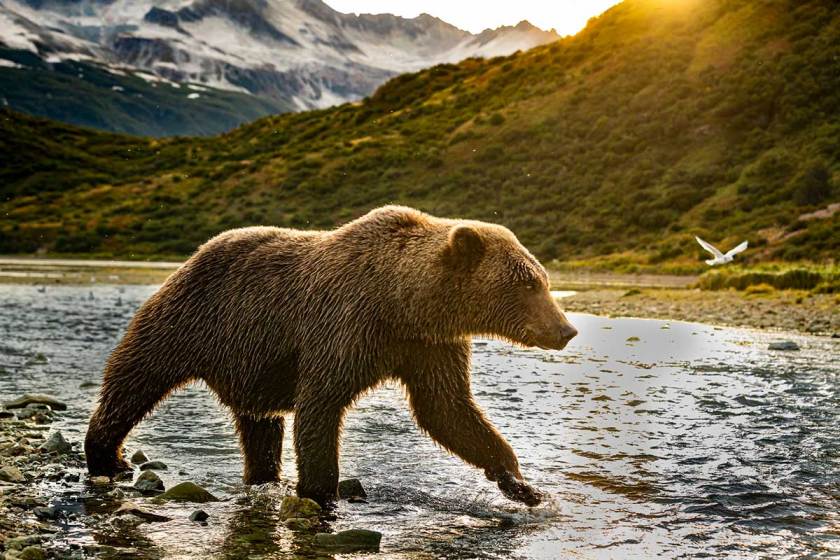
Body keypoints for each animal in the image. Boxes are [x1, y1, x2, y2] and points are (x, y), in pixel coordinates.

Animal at [85, 205, 578, 506]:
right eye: (528, 283)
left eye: (543, 279)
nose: (566, 330)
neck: (402, 302)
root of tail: (195, 252)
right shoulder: (345, 325)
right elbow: (321, 405)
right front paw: (322, 492)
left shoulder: (429, 345)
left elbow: (448, 408)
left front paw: (518, 481)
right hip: (190, 318)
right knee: (135, 377)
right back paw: (107, 456)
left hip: (251, 361)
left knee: (259, 424)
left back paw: (263, 476)